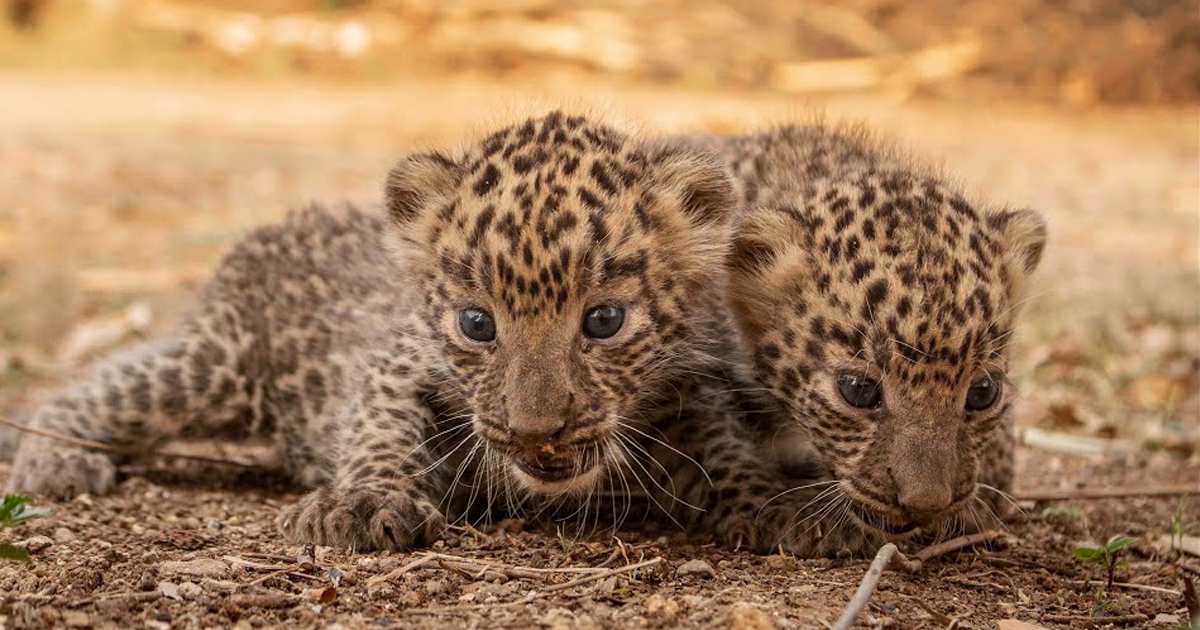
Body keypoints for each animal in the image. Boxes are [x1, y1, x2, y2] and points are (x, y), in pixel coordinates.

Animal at [4, 112, 792, 552]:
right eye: (476, 323)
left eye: (603, 321)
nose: (536, 431)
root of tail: (283, 221)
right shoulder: (397, 361)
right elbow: (380, 428)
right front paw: (363, 504)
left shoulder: (695, 384)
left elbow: (726, 448)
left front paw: (775, 506)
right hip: (211, 367)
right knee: (103, 387)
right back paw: (55, 457)